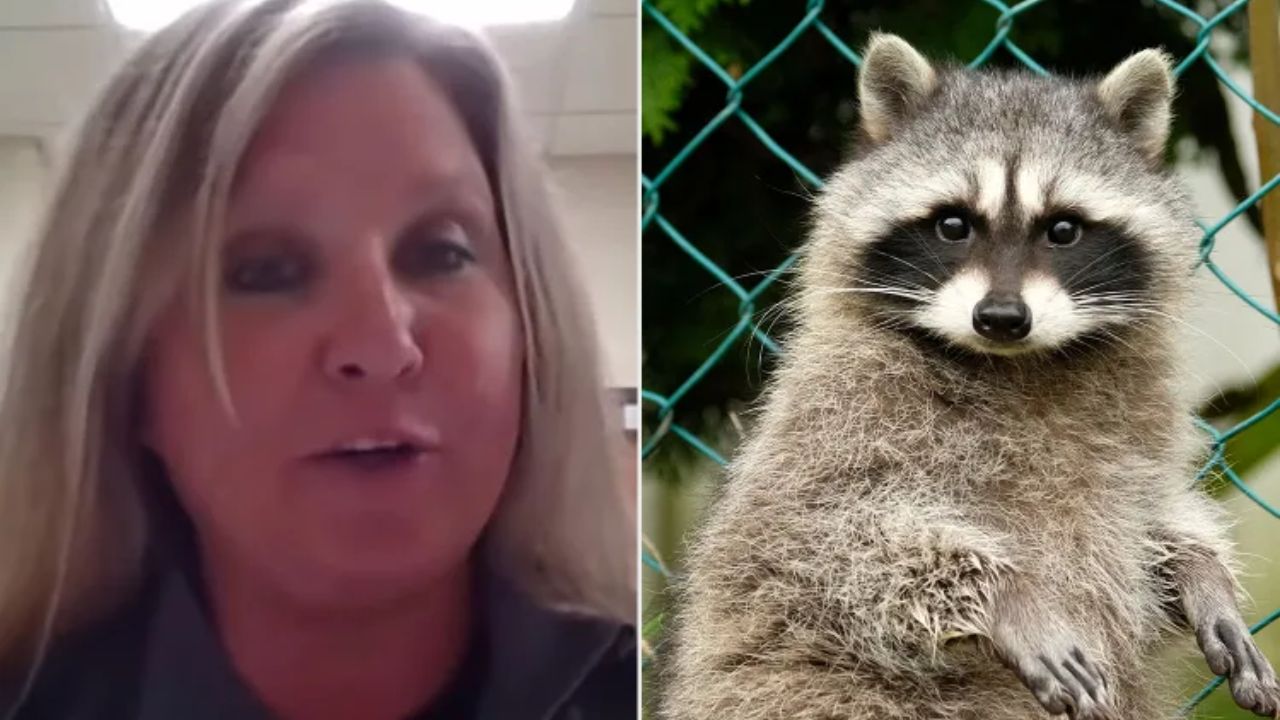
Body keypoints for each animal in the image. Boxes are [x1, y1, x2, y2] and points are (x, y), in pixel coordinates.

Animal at [658, 34, 1280, 720]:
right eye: (953, 224)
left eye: (1063, 229)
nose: (1002, 317)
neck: (1019, 364)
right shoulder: (828, 419)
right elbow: (820, 536)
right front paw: (1006, 594)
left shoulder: (1136, 440)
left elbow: (1152, 520)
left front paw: (1200, 569)